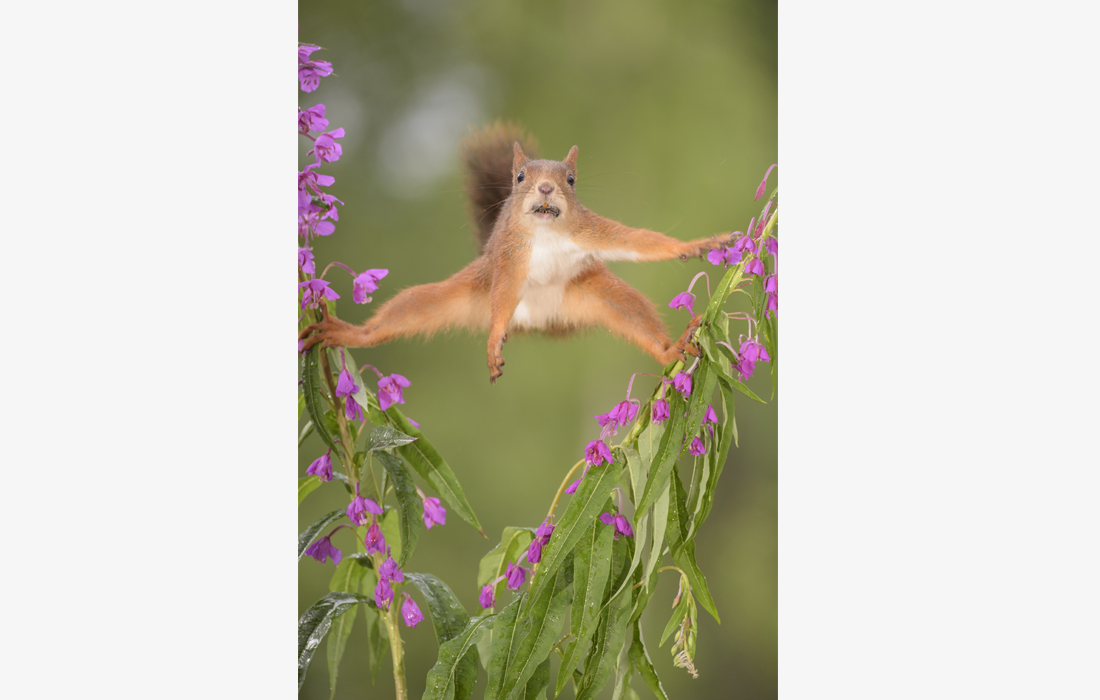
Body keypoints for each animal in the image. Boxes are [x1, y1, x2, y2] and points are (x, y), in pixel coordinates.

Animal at [300, 122, 732, 383]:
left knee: (635, 315)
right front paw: (493, 343)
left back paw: (669, 349)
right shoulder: (508, 258)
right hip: (472, 290)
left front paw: (698, 245)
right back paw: (352, 333)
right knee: (412, 310)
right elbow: (506, 288)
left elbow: (639, 241)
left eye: (571, 179)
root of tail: (540, 320)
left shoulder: (591, 231)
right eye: (521, 176)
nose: (546, 188)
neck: (545, 232)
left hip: (596, 293)